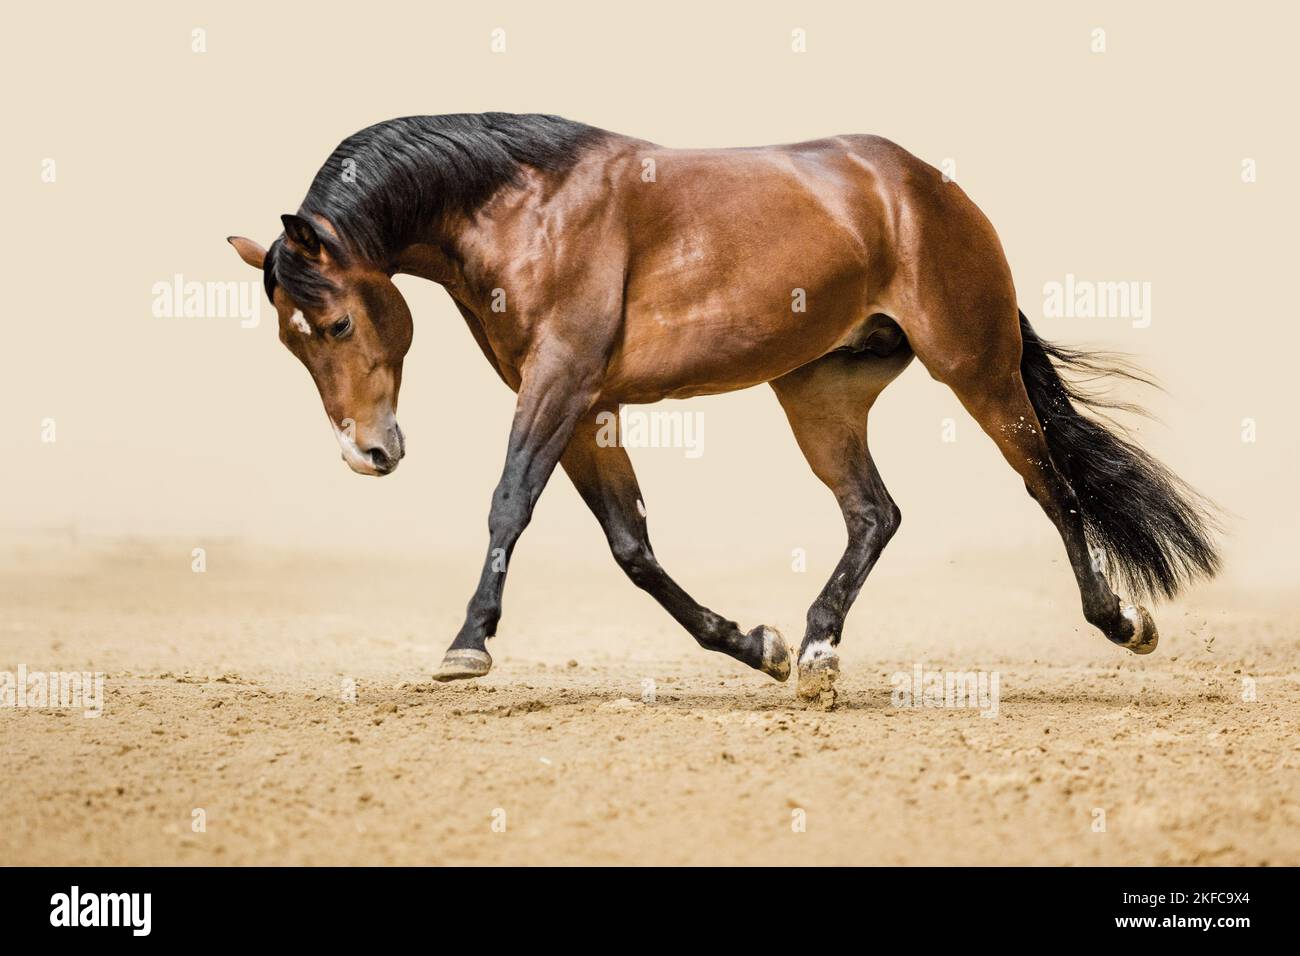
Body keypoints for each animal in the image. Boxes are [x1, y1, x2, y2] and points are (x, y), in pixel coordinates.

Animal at [227, 112, 1220, 703]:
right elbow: (631, 547)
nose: (368, 453)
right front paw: (757, 644)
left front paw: (468, 644)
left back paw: (1122, 622)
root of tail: (927, 187)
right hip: (820, 394)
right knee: (875, 513)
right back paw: (815, 656)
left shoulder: (560, 386)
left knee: (1052, 488)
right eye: (289, 341)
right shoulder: (586, 407)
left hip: (977, 369)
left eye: (339, 321)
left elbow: (509, 504)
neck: (524, 208)